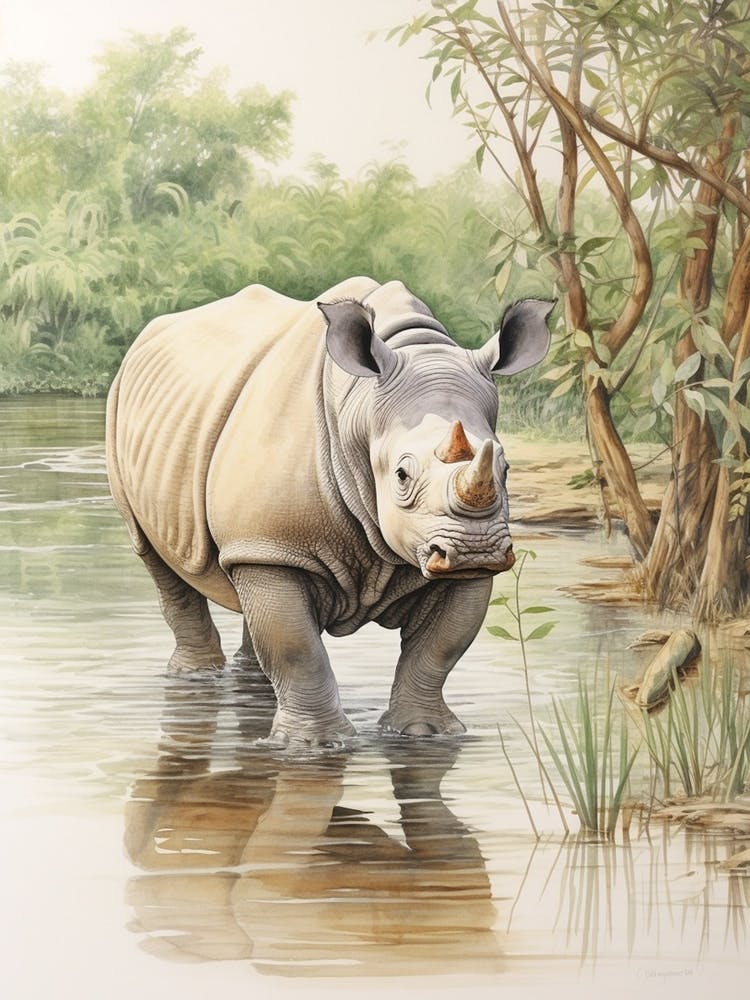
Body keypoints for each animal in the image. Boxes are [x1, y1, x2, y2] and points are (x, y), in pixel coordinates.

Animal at [106, 277, 552, 748]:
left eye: (506, 468)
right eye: (401, 475)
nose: (475, 550)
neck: (362, 413)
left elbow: (441, 646)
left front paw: (425, 734)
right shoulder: (274, 541)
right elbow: (295, 648)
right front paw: (314, 745)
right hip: (124, 412)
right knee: (155, 555)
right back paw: (194, 679)